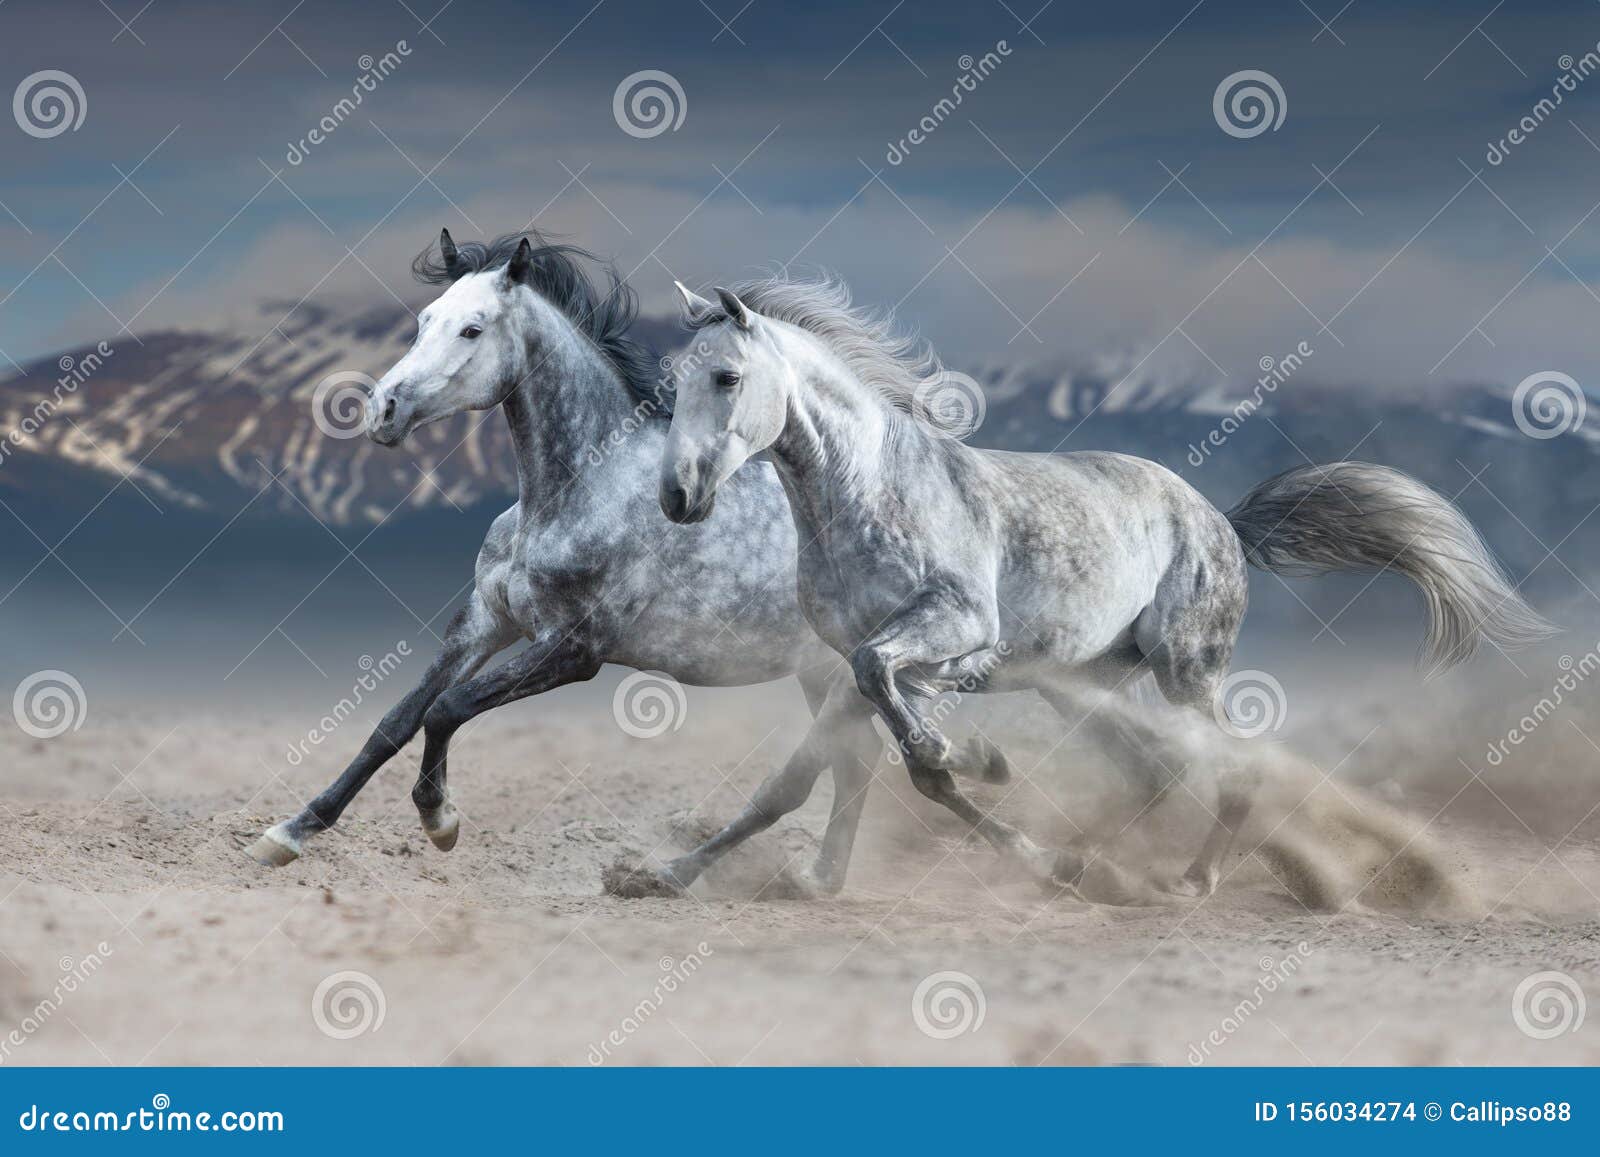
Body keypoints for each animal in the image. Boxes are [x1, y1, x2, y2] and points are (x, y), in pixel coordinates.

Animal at [248, 232, 902, 900]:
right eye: (425, 320)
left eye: (472, 329)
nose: (382, 409)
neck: (577, 490)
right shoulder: (486, 621)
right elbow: (398, 718)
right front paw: (290, 833)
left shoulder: (574, 650)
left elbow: (448, 707)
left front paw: (440, 821)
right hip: (819, 673)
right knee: (857, 757)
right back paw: (818, 879)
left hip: (844, 675)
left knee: (831, 762)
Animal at [657, 274, 1553, 897]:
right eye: (673, 381)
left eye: (727, 377)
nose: (678, 496)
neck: (869, 490)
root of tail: (1222, 522)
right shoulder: (849, 661)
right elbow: (806, 773)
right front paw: (673, 873)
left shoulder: (950, 628)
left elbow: (904, 720)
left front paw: (970, 757)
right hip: (1083, 681)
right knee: (1154, 772)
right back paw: (1089, 865)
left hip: (1186, 671)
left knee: (1229, 764)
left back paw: (1189, 879)